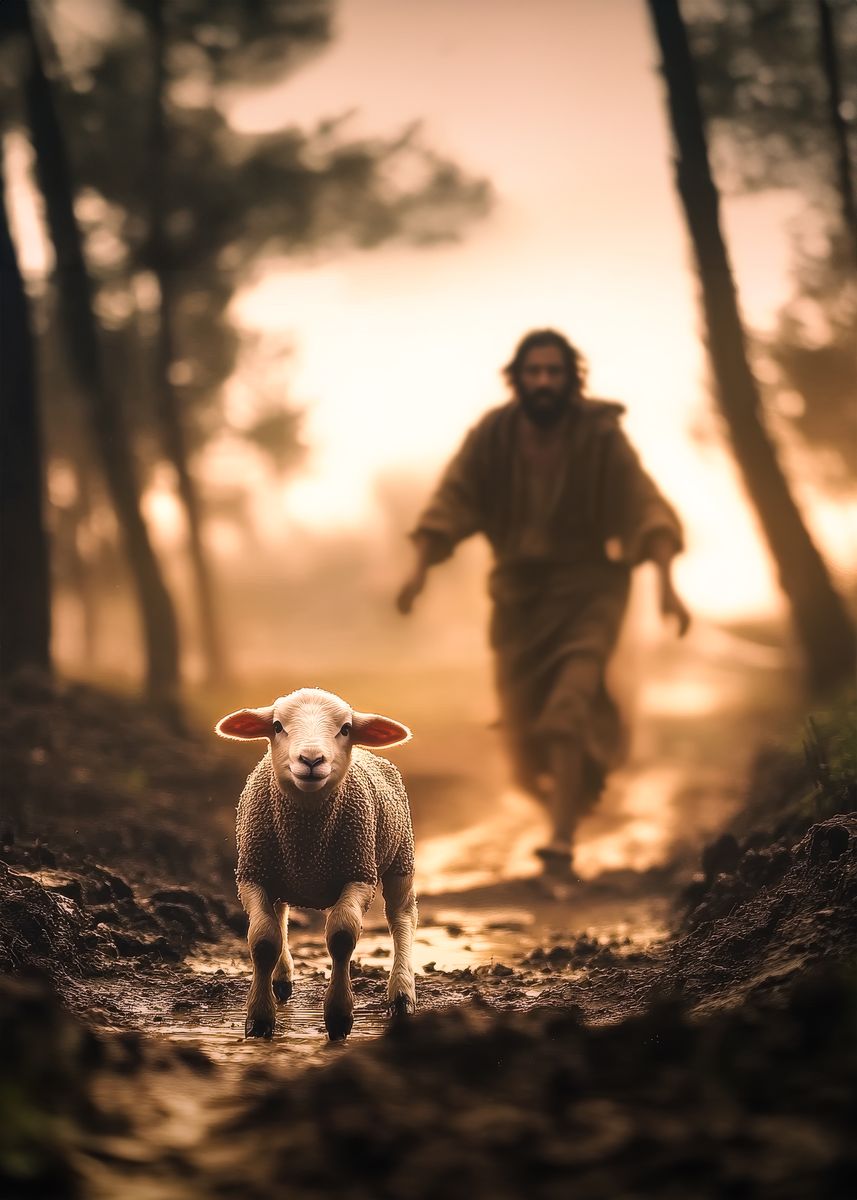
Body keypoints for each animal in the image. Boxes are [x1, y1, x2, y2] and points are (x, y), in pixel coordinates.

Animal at [215, 687, 417, 1041]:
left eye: (346, 729)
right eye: (277, 726)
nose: (311, 760)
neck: (307, 835)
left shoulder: (358, 873)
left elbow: (342, 935)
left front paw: (338, 1017)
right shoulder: (253, 875)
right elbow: (264, 940)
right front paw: (259, 1020)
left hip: (400, 857)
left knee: (401, 917)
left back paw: (402, 994)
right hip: (278, 870)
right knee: (280, 915)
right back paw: (282, 980)